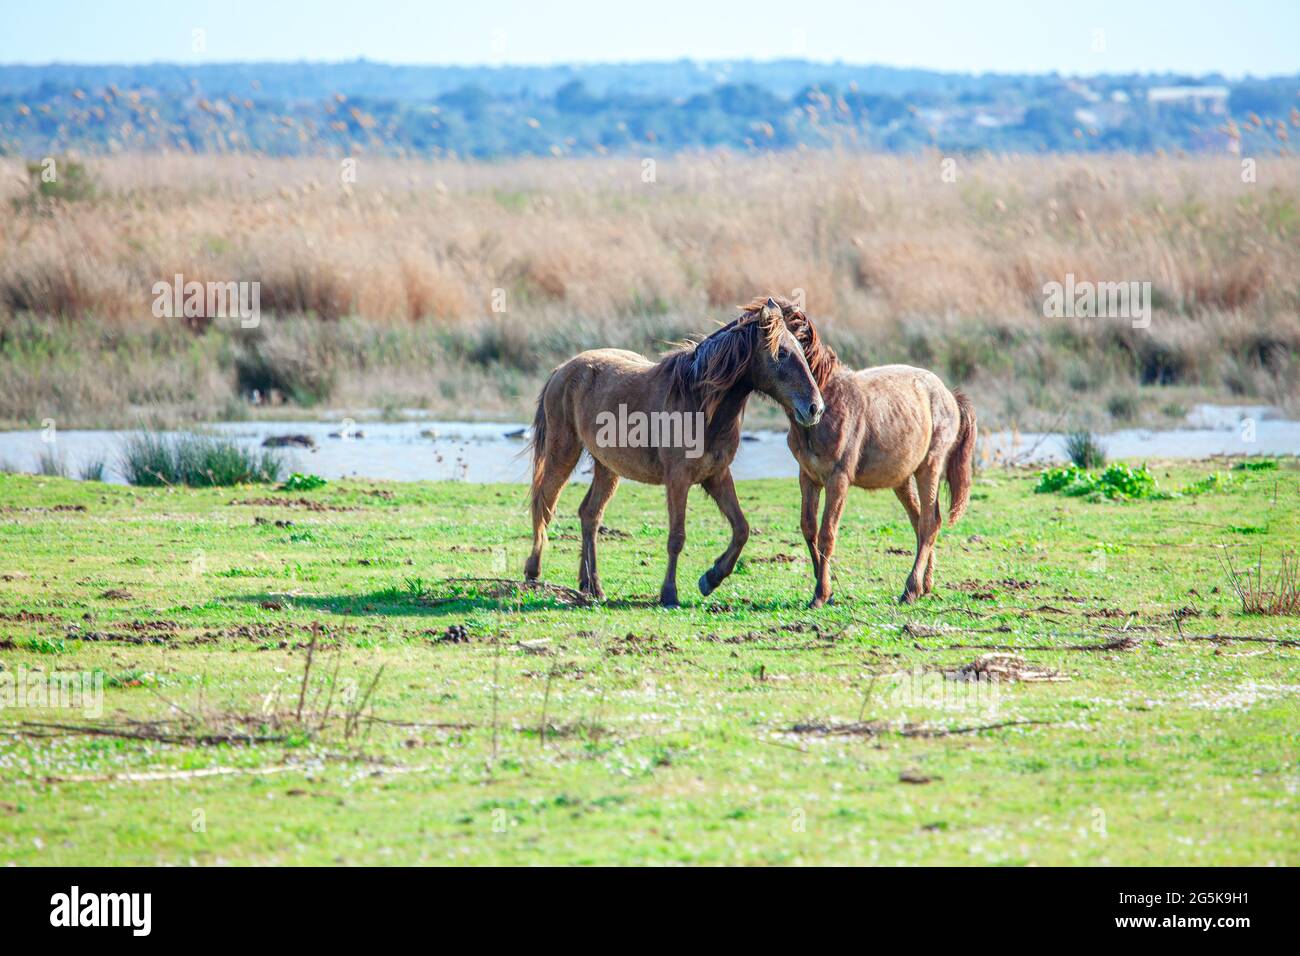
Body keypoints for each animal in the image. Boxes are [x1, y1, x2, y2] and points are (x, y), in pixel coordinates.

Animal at [524, 297, 825, 607]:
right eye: (782, 353)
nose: (815, 408)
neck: (699, 403)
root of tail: (562, 369)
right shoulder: (678, 480)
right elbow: (677, 537)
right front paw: (669, 593)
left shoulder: (717, 475)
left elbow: (741, 528)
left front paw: (711, 578)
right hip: (563, 452)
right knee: (544, 504)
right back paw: (533, 573)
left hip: (607, 467)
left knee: (589, 515)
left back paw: (592, 586)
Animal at [773, 298, 977, 607]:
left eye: (792, 346)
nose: (810, 409)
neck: (827, 406)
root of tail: (949, 396)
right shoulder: (807, 477)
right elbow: (809, 529)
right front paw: (824, 588)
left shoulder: (838, 480)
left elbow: (827, 534)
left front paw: (821, 594)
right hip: (902, 479)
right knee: (920, 522)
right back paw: (925, 585)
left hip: (929, 467)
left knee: (930, 523)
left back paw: (910, 590)